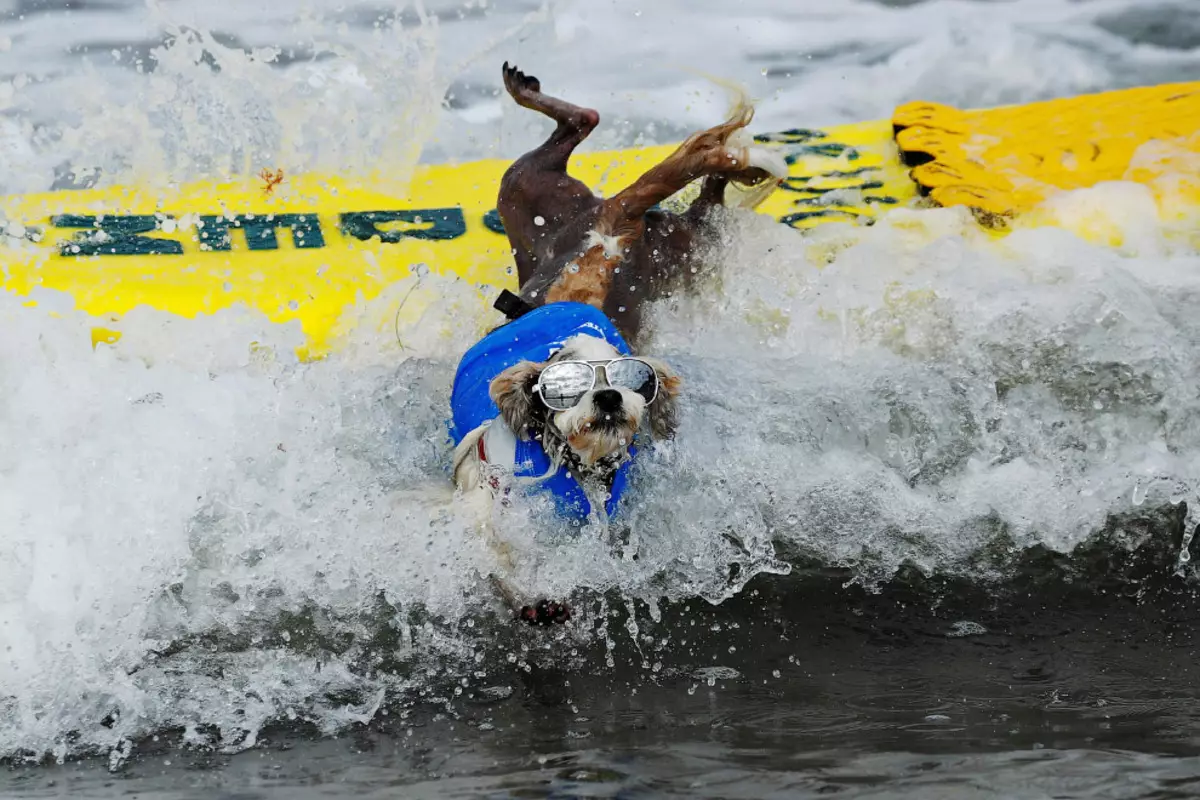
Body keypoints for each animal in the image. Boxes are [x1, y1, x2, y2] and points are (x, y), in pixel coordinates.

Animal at [451, 62, 787, 623]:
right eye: (566, 385)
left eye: (626, 376)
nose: (608, 396)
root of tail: (599, 228)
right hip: (648, 238)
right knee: (696, 188)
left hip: (526, 195)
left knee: (606, 135)